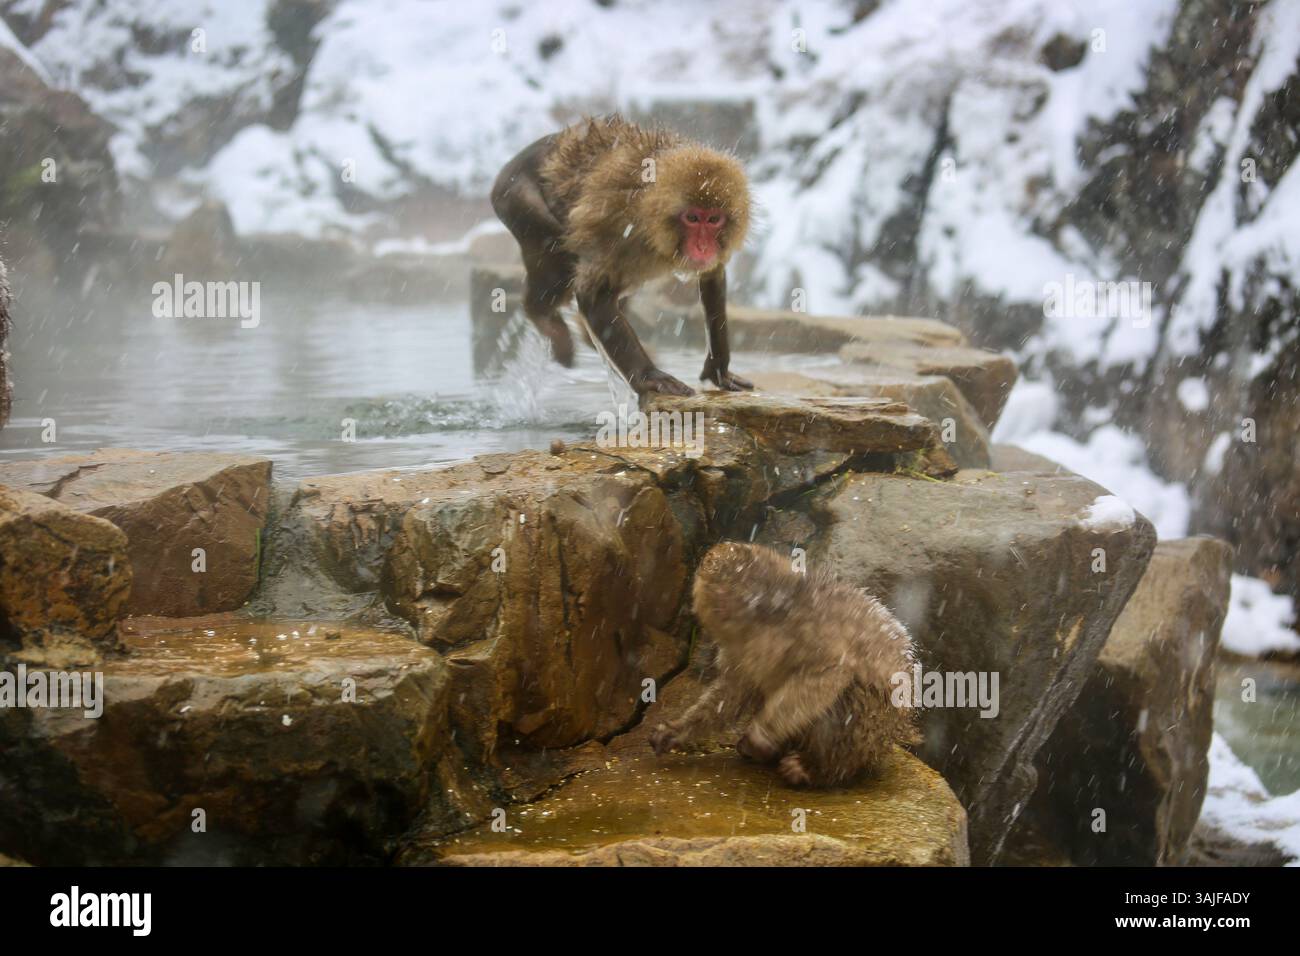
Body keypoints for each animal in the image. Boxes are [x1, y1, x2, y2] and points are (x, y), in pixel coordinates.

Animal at [490, 115, 753, 397]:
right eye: (692, 218)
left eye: (714, 219)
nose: (703, 247)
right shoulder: (622, 233)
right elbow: (592, 295)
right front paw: (648, 376)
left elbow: (712, 276)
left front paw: (718, 368)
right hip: (515, 199)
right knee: (556, 260)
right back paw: (542, 316)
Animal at [650, 542, 919, 787]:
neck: (762, 623)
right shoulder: (738, 651)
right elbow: (732, 694)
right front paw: (678, 730)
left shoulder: (806, 630)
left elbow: (830, 672)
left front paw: (760, 737)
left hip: (870, 735)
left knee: (850, 696)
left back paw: (817, 770)